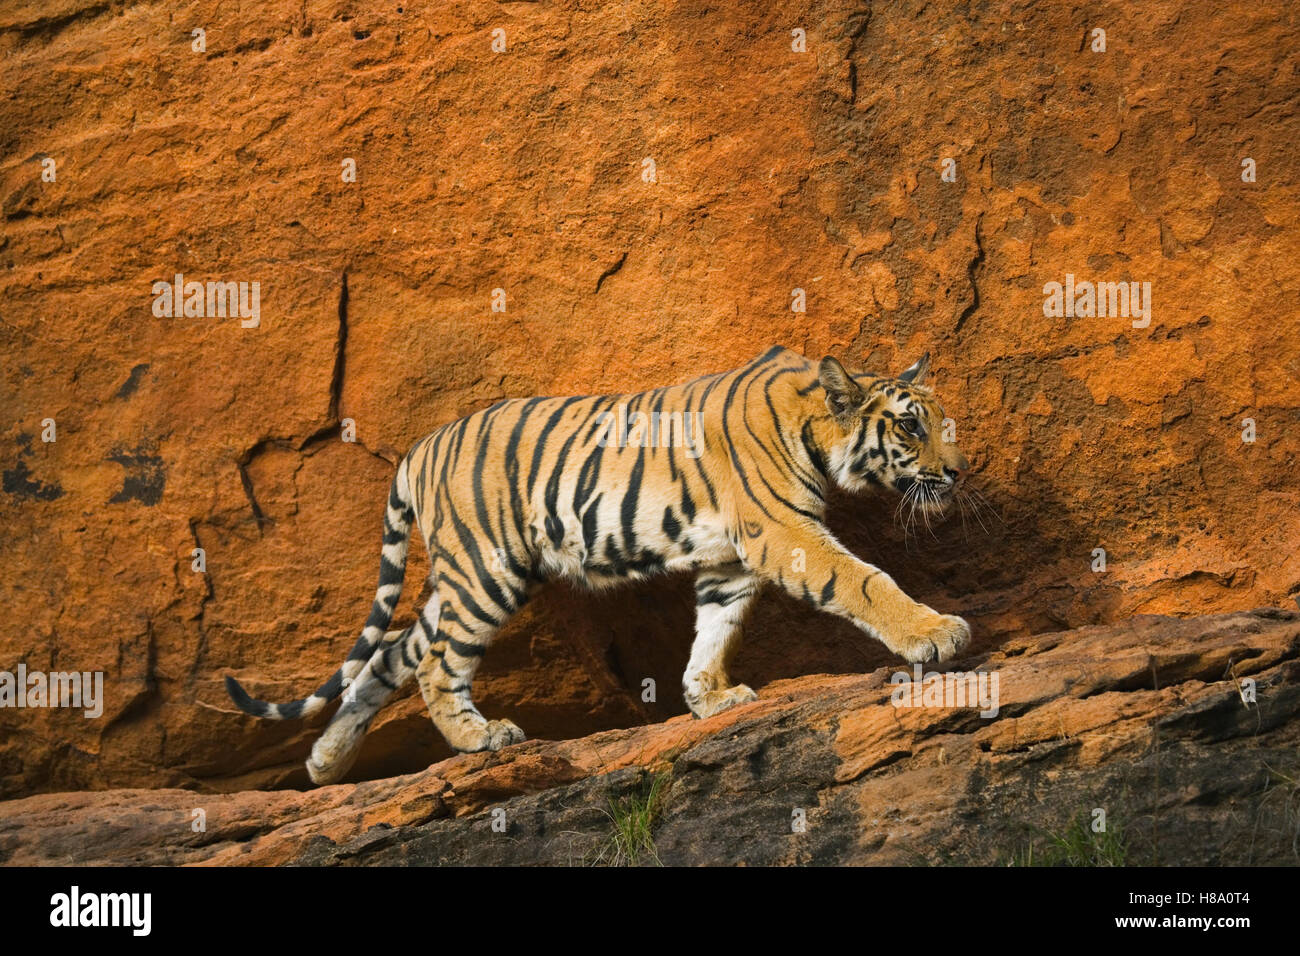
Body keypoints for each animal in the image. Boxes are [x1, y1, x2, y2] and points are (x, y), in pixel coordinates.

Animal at [225, 345, 972, 785]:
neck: (816, 431)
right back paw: (480, 738)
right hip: (487, 572)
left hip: (458, 581)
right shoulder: (783, 532)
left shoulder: (731, 561)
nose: (959, 472)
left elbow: (716, 630)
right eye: (911, 426)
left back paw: (325, 762)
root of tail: (417, 448)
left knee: (388, 657)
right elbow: (864, 581)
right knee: (438, 666)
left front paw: (709, 697)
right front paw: (935, 634)